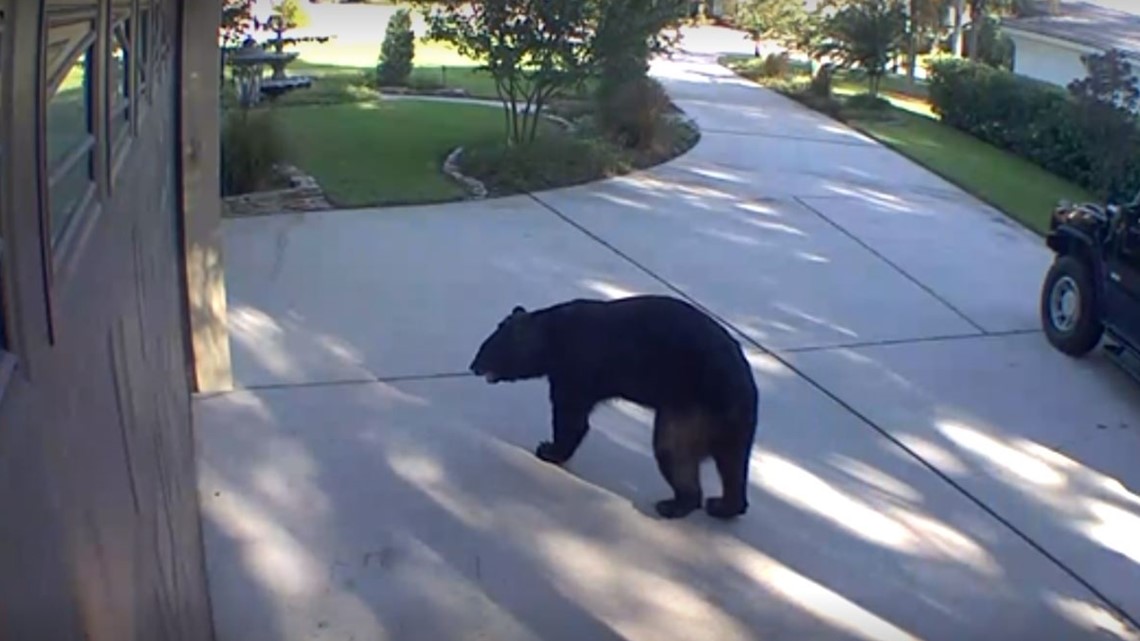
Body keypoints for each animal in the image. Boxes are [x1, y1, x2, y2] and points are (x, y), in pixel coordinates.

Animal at [469, 294, 759, 520]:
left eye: (487, 349)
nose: (473, 366)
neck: (553, 335)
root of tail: (744, 390)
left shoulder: (577, 364)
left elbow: (571, 415)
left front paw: (549, 449)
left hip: (693, 406)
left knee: (674, 449)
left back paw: (674, 504)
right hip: (731, 426)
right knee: (732, 464)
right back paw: (723, 505)